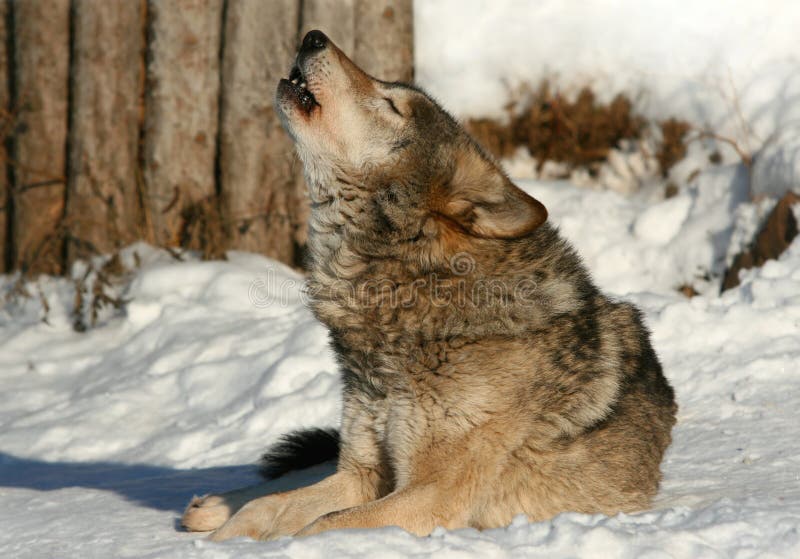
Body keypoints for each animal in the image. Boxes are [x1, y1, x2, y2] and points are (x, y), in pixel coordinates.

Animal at [181, 30, 677, 541]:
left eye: (391, 104)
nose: (314, 36)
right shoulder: (361, 473)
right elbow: (271, 507)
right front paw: (227, 537)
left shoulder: (431, 495)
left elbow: (319, 525)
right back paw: (211, 505)